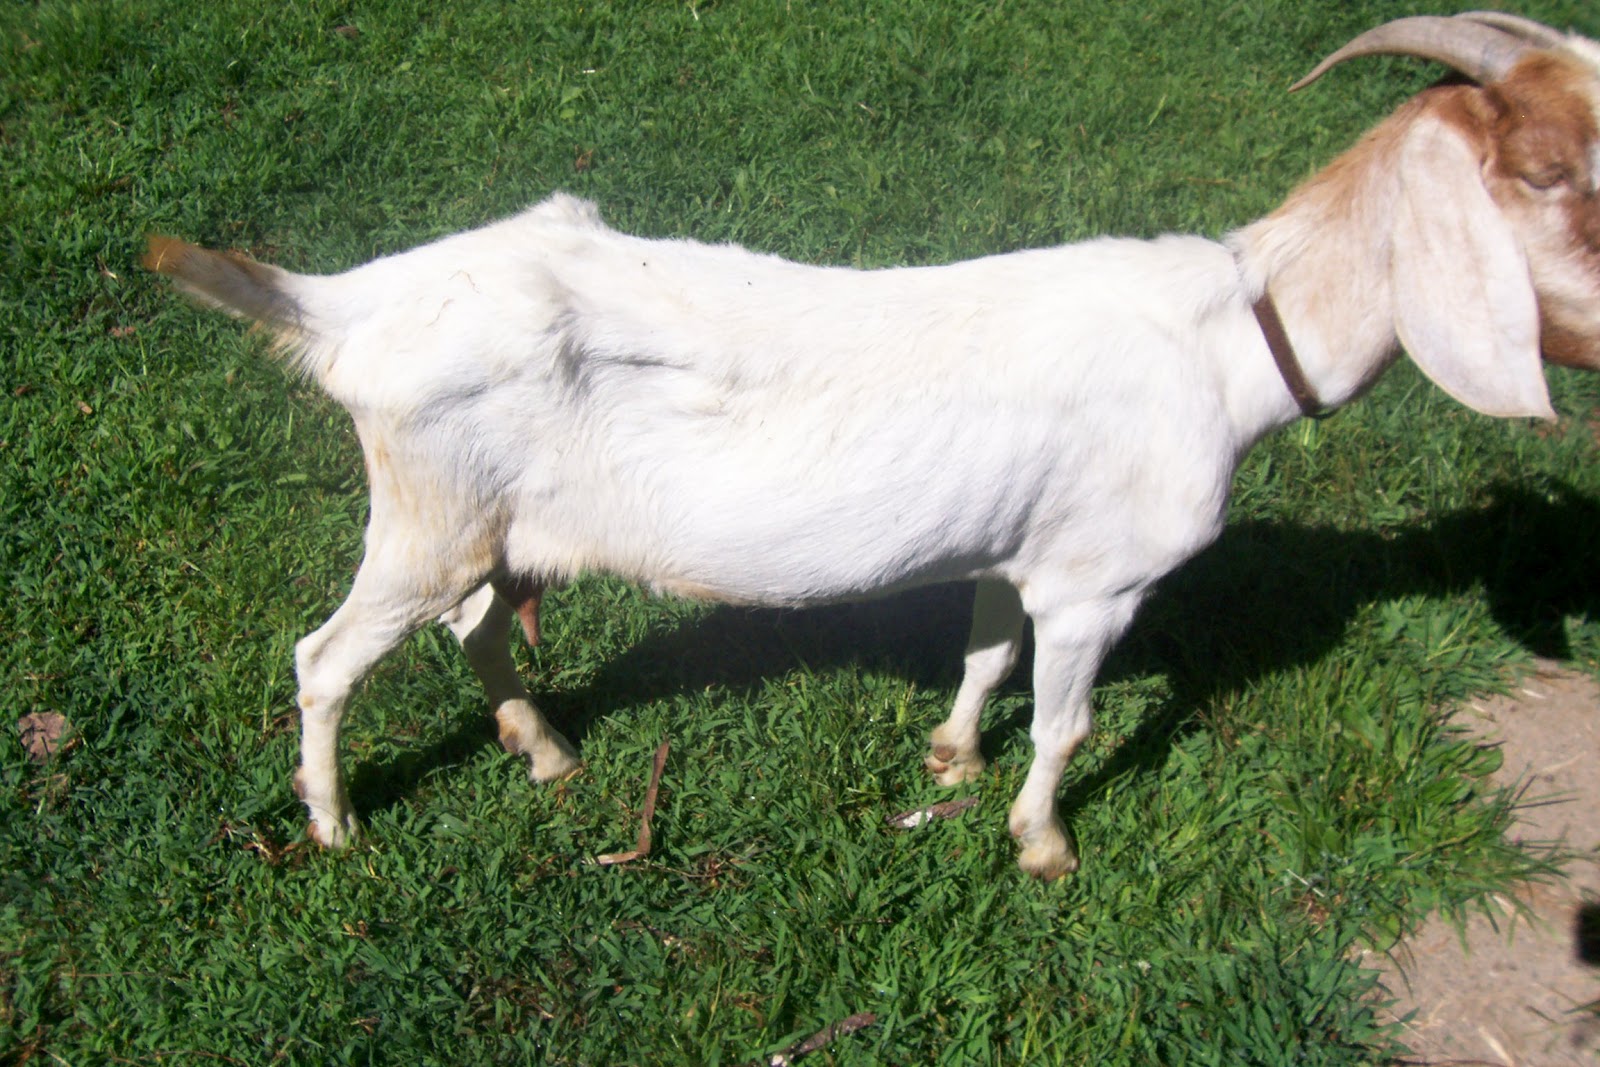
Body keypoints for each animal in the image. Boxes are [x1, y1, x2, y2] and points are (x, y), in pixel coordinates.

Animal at [146, 14, 1600, 879]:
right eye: (1552, 172)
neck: (1237, 336)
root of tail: (343, 306)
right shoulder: (1102, 581)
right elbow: (1065, 718)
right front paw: (1043, 845)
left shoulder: (1022, 550)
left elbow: (985, 648)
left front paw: (952, 756)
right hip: (427, 512)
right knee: (328, 656)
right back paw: (334, 821)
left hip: (487, 523)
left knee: (476, 624)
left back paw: (547, 752)